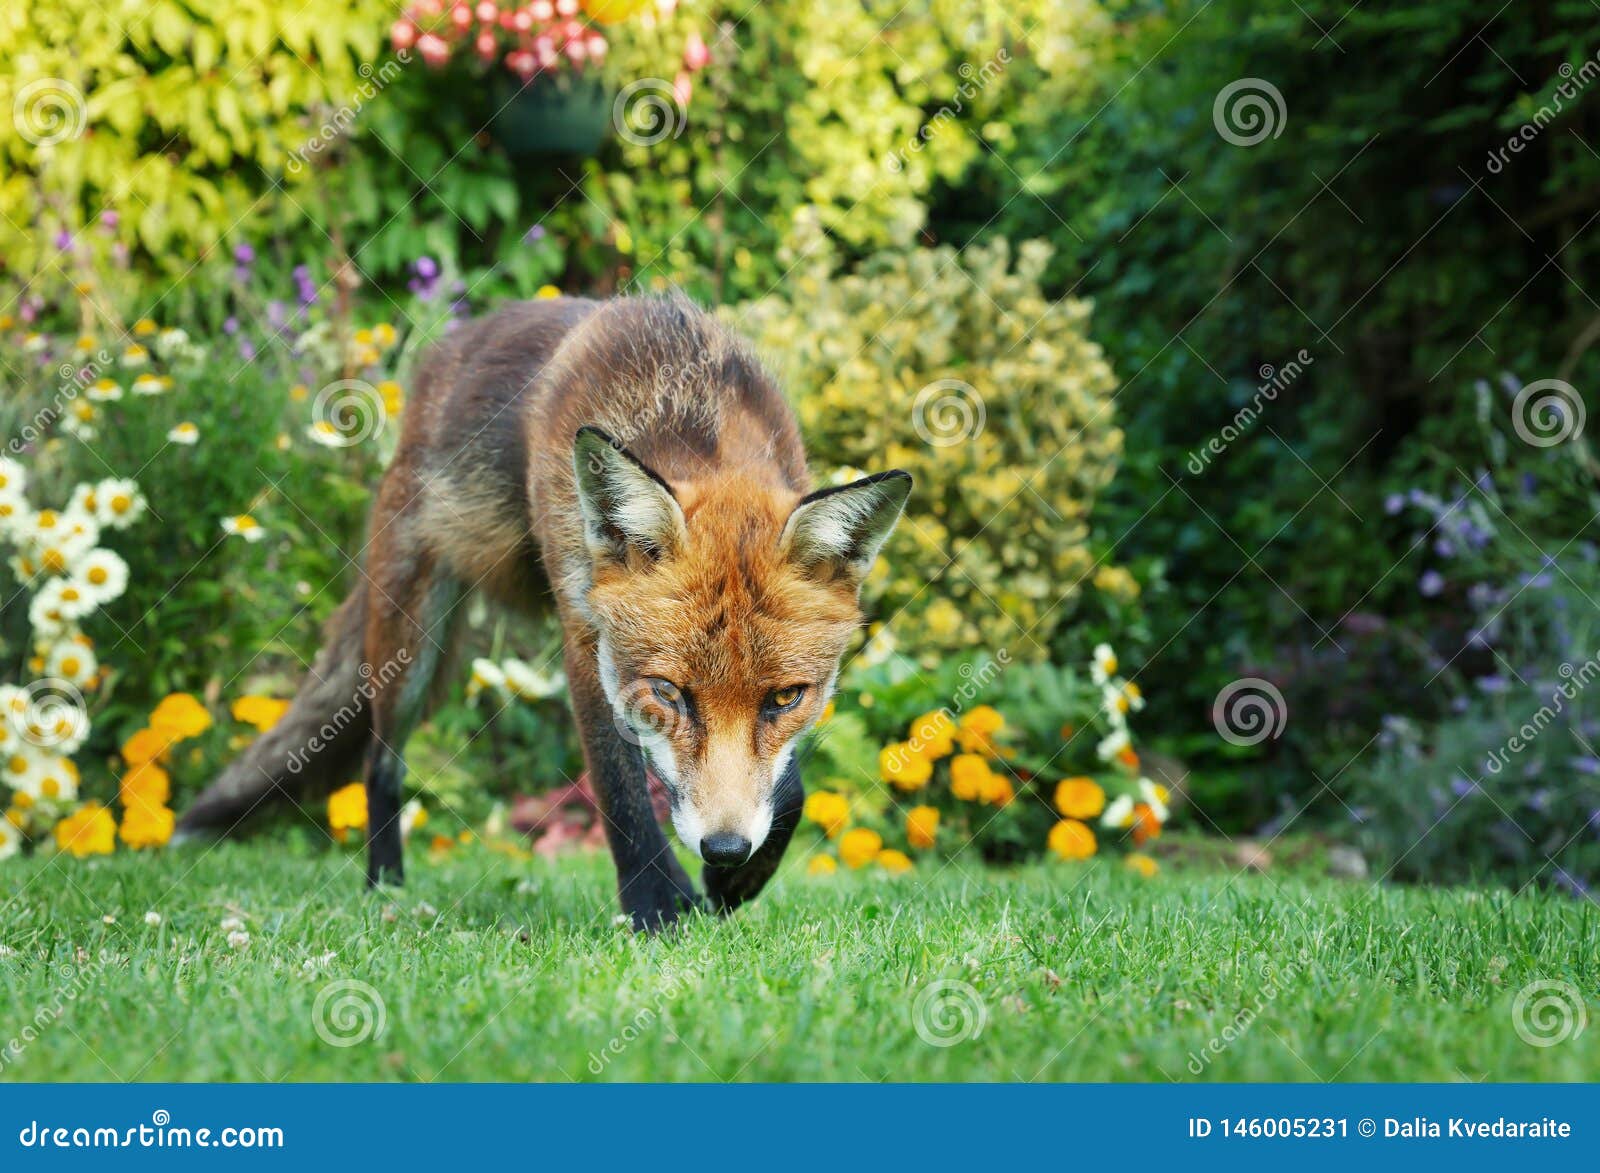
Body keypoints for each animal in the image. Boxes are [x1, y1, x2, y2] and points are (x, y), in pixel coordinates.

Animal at [176, 295, 910, 930]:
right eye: (668, 692)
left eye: (785, 697)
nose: (725, 849)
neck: (681, 396)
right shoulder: (586, 637)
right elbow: (621, 795)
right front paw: (658, 911)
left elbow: (789, 786)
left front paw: (736, 882)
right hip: (412, 642)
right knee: (379, 764)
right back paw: (385, 885)